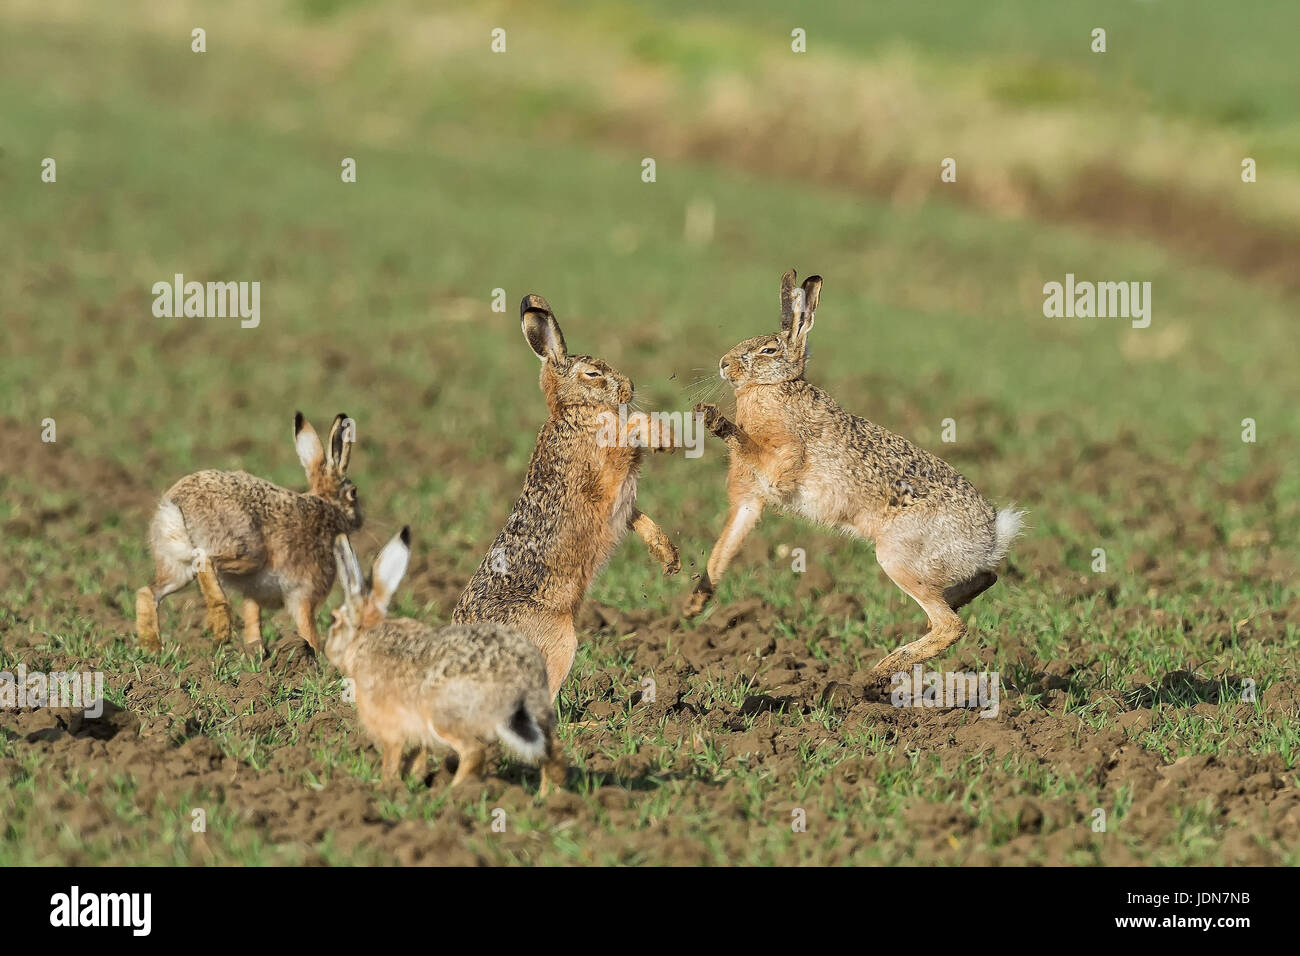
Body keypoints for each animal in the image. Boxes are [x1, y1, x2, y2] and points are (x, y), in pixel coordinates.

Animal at [135, 411, 362, 658]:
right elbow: (307, 627)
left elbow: (253, 620)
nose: (359, 520)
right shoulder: (305, 593)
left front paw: (256, 653)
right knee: (206, 560)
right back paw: (221, 628)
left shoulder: (253, 593)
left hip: (177, 568)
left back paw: (152, 647)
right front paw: (315, 656)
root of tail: (177, 505)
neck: (328, 510)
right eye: (353, 493)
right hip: (248, 552)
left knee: (148, 592)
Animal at [328, 528, 565, 792]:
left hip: (444, 716)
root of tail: (520, 682)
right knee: (552, 751)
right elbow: (418, 756)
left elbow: (392, 758)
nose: (327, 649)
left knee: (474, 752)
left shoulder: (391, 728)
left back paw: (454, 793)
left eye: (333, 620)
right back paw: (550, 796)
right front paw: (414, 782)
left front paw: (388, 788)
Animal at [452, 294, 680, 696]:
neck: (575, 411)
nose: (629, 386)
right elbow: (631, 429)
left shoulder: (623, 505)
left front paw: (670, 559)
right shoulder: (603, 476)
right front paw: (663, 437)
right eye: (592, 374)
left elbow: (641, 519)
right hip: (559, 642)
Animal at [687, 269, 1025, 682]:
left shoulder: (782, 463)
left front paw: (715, 419)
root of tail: (992, 534)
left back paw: (878, 671)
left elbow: (754, 448)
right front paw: (693, 605)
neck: (775, 388)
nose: (723, 364)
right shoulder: (749, 502)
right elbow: (724, 547)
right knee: (982, 583)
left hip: (897, 557)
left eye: (768, 351)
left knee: (950, 626)